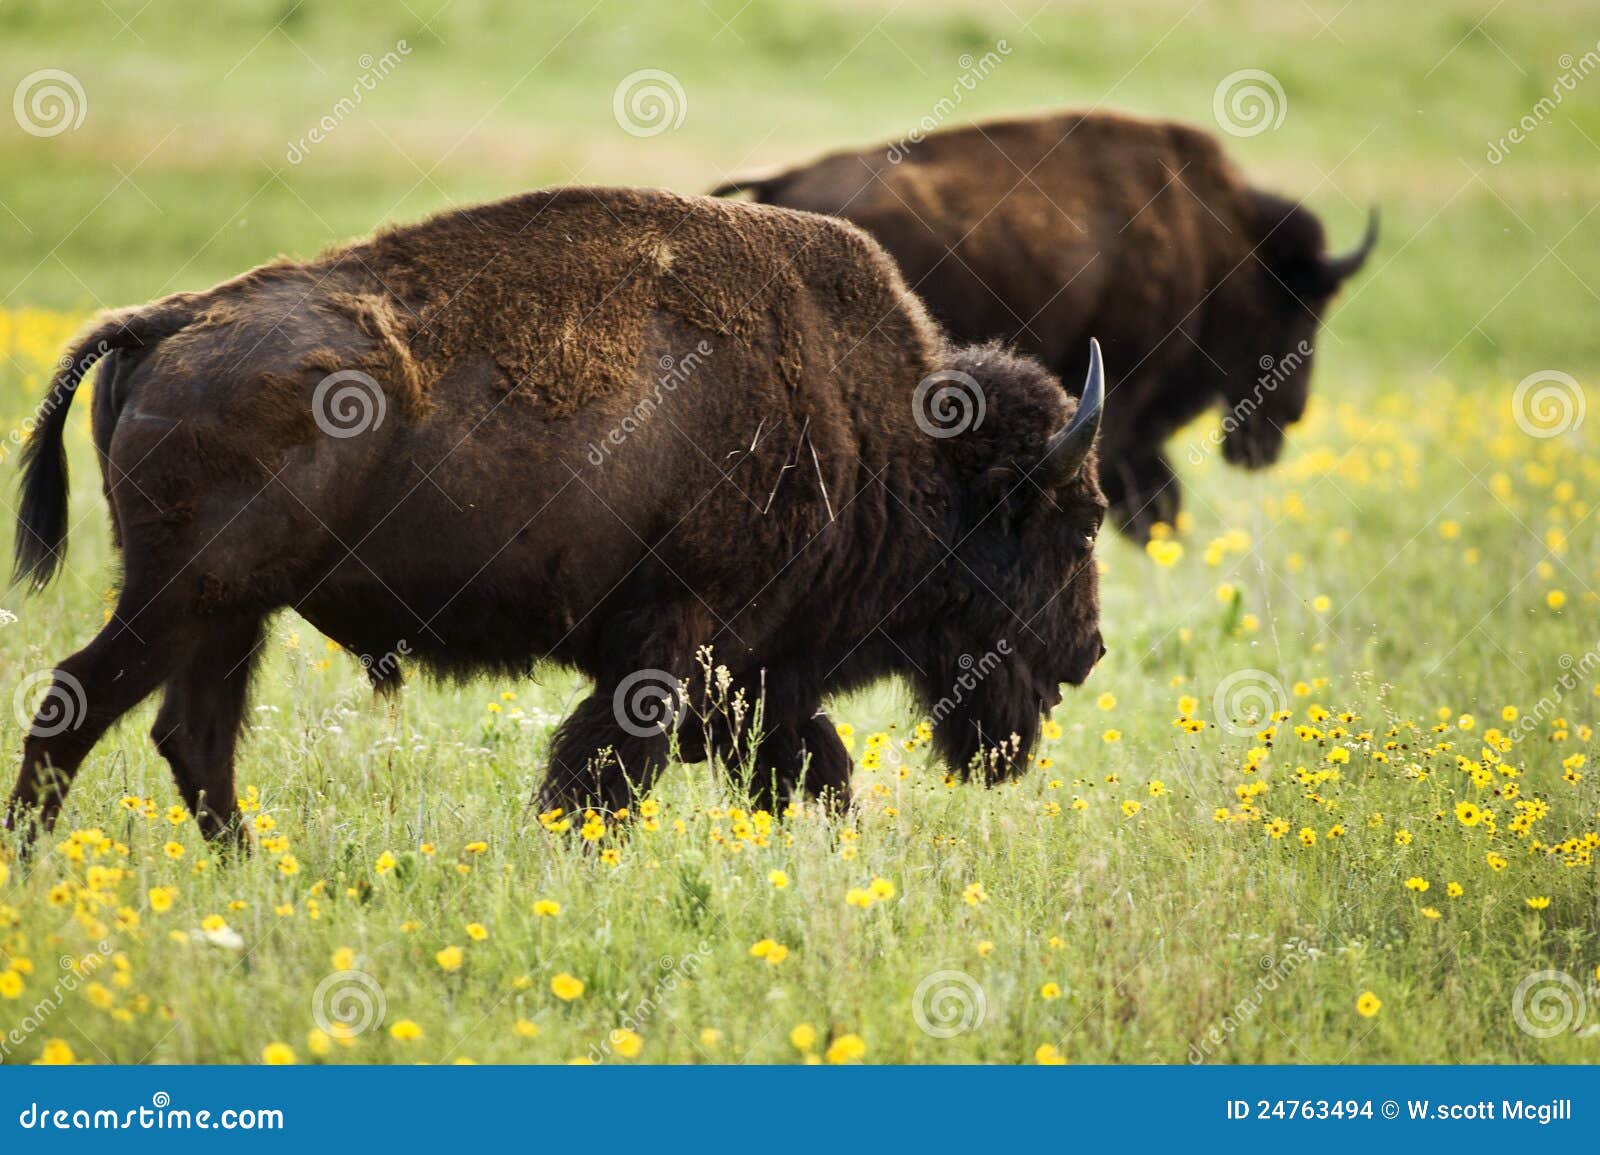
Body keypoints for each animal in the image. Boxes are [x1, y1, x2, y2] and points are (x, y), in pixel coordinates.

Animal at [7, 187, 1108, 845]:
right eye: (1079, 520)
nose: (1088, 650)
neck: (871, 431)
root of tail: (169, 320)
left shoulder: (750, 672)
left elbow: (809, 766)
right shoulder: (674, 646)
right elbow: (605, 775)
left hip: (233, 614)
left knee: (194, 738)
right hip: (185, 599)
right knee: (78, 705)